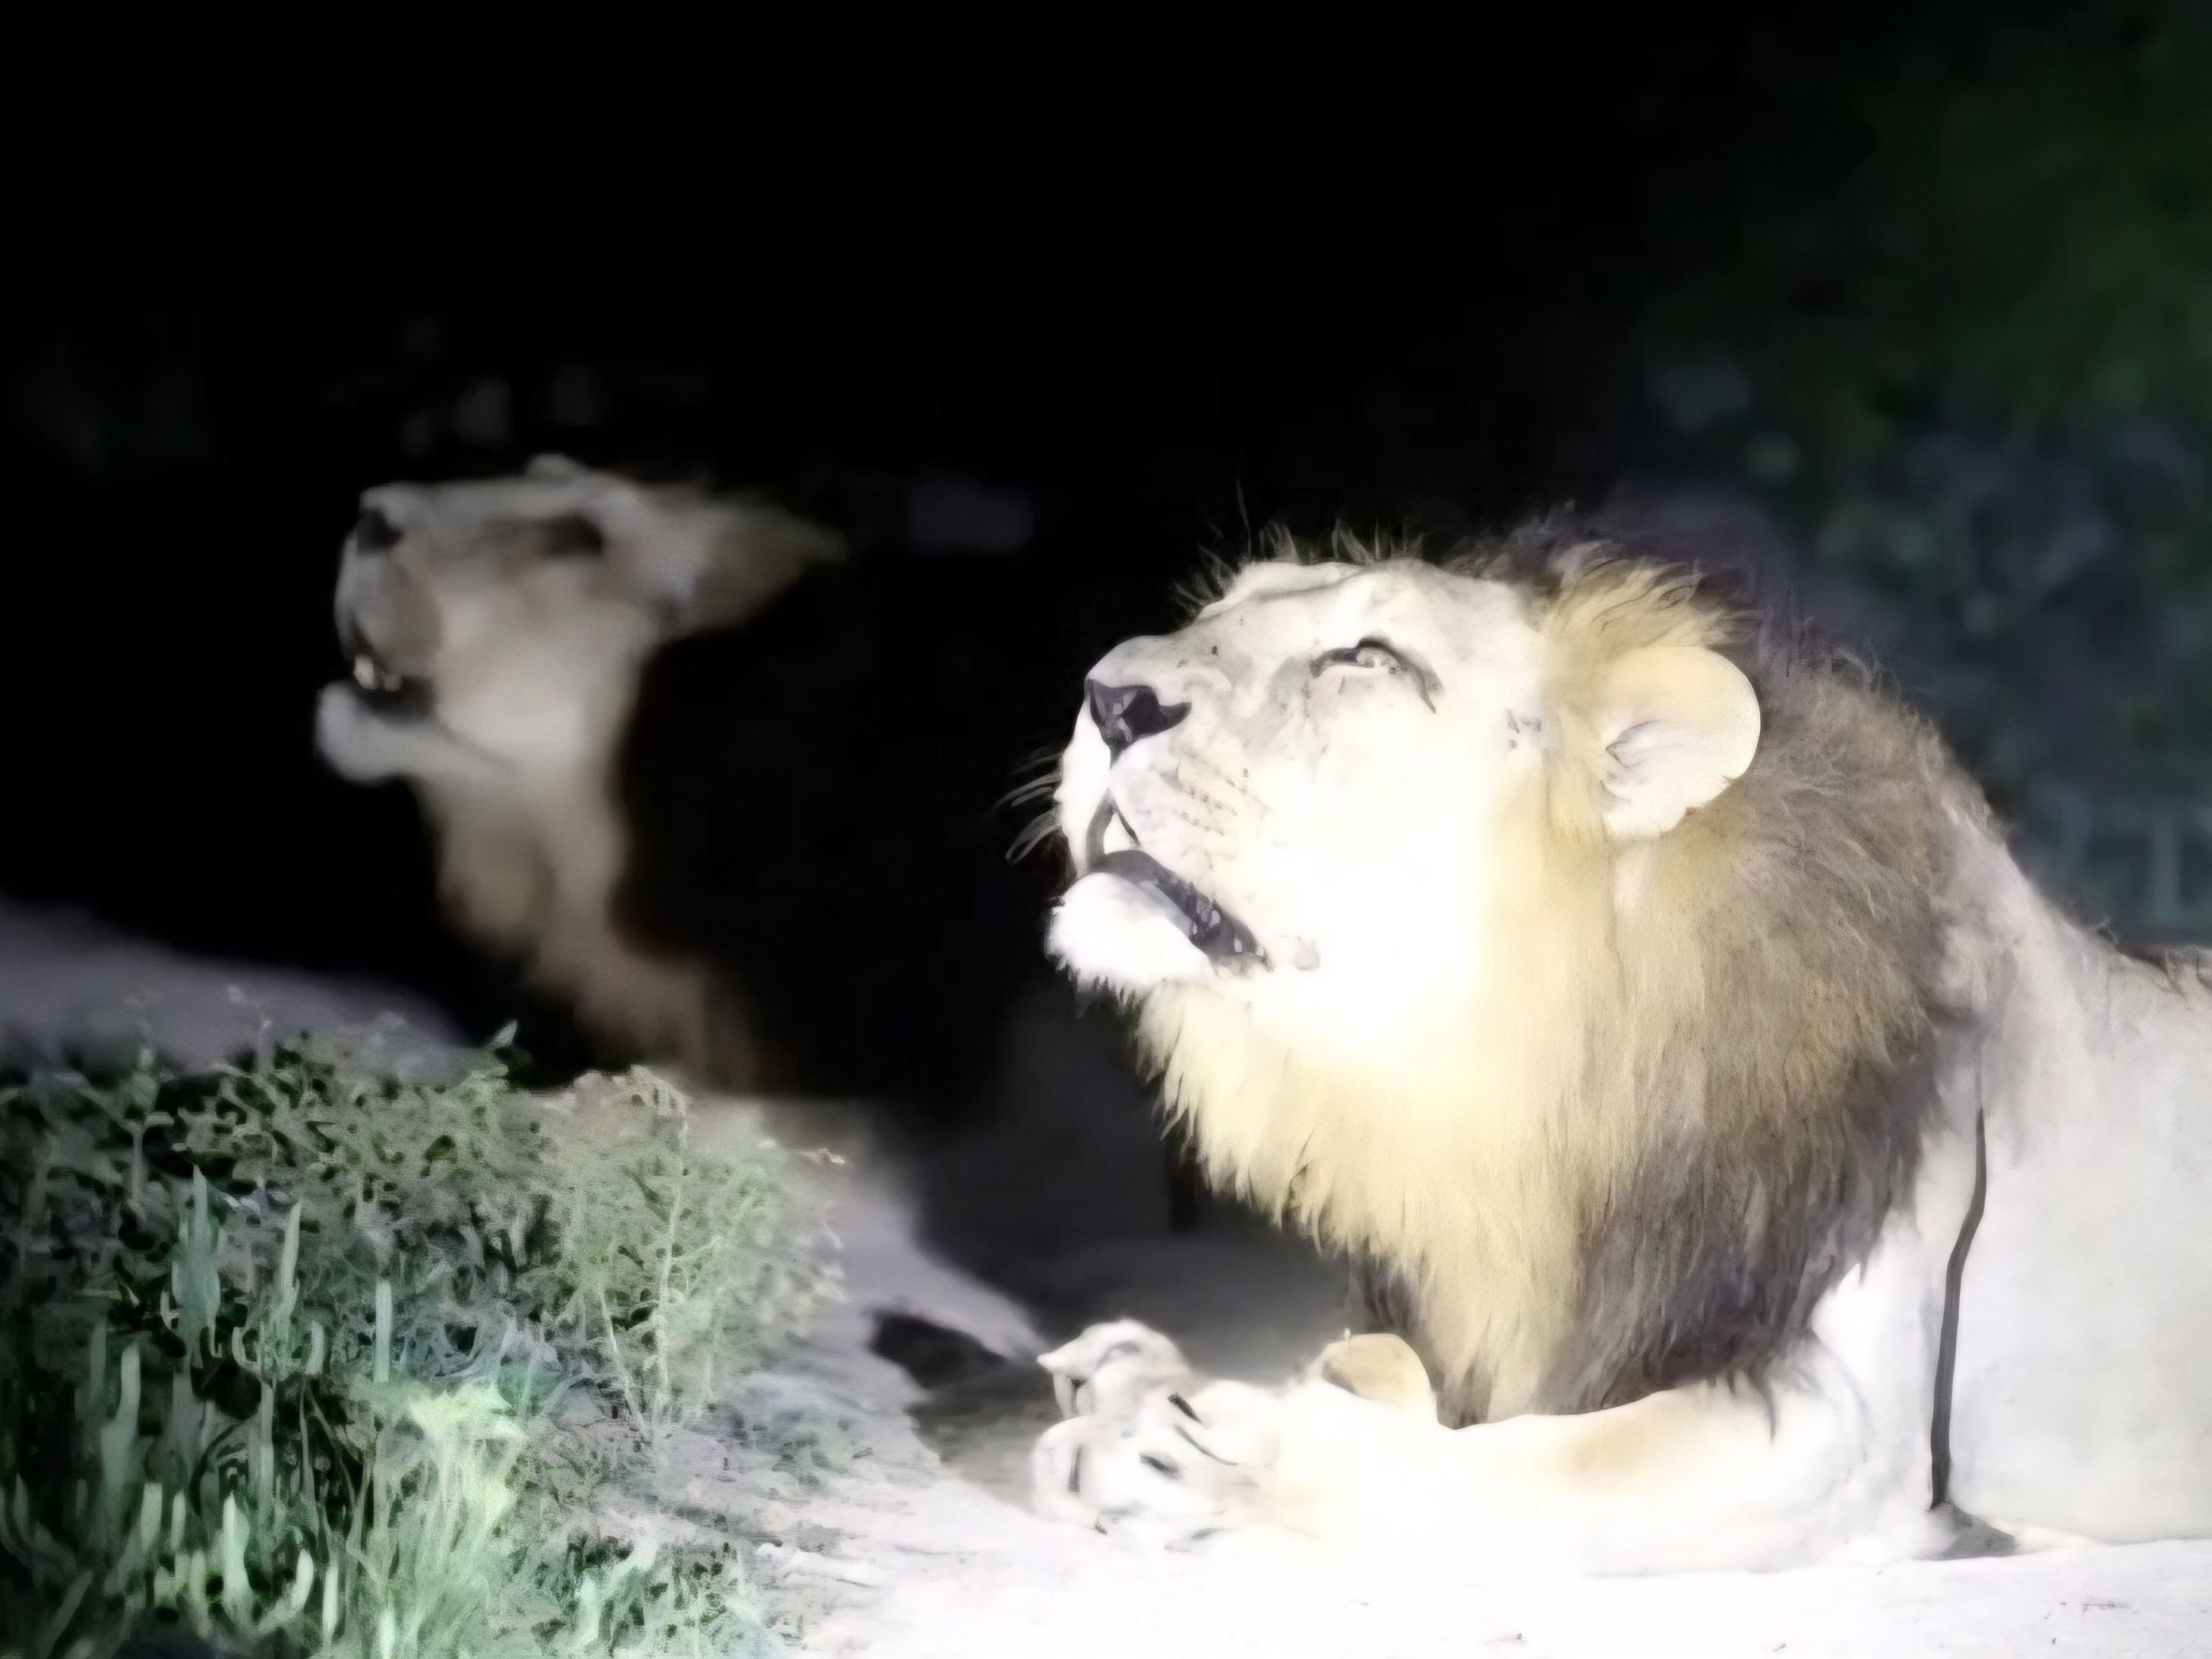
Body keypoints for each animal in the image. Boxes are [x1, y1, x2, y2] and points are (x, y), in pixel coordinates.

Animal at [1030, 521, 2212, 1573]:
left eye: (1367, 659)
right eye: (1220, 611)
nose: (1104, 697)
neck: (1511, 1067)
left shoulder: (1848, 1433)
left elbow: (1518, 1474)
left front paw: (1188, 1445)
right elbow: (1395, 1371)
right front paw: (1143, 1373)